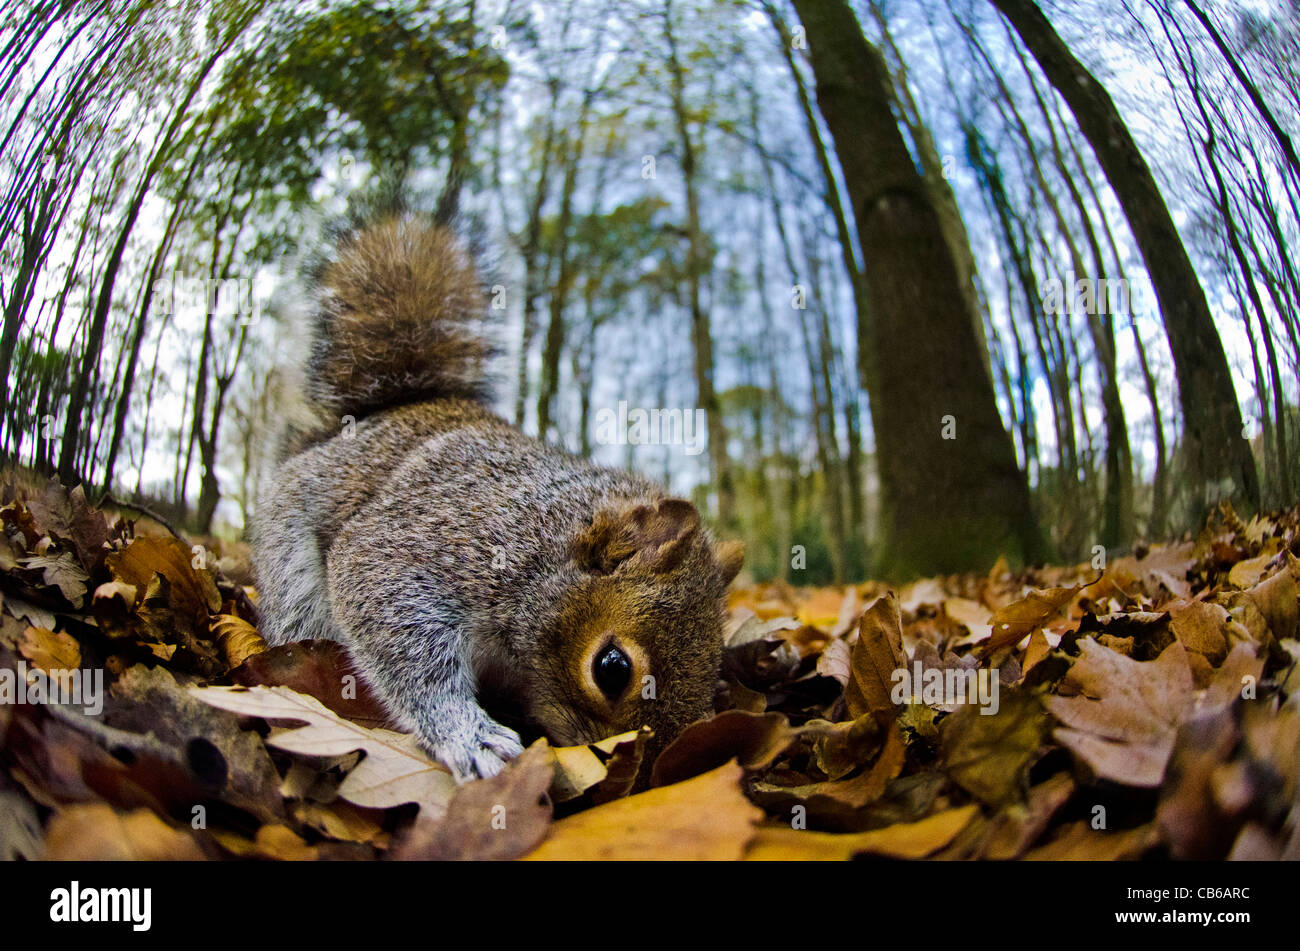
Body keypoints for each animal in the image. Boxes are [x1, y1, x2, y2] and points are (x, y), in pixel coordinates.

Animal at [252, 215, 744, 783]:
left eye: (712, 682)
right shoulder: (450, 538)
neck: (547, 540)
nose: (634, 775)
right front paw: (468, 733)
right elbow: (393, 618)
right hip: (291, 564)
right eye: (612, 669)